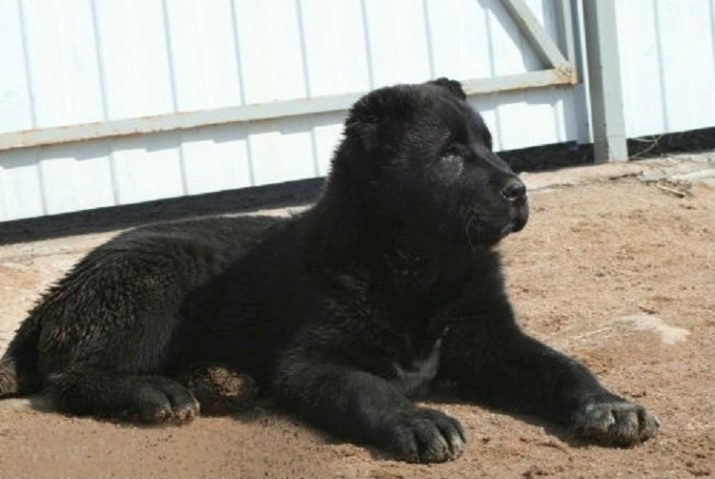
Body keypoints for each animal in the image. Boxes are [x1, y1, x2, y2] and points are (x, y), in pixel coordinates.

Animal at [0, 79, 660, 464]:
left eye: (489, 144)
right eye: (450, 154)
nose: (520, 190)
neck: (419, 266)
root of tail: (57, 294)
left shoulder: (492, 337)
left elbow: (561, 366)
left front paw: (611, 406)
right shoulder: (312, 361)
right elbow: (369, 388)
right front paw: (418, 420)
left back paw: (221, 382)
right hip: (156, 277)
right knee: (73, 378)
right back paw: (156, 392)